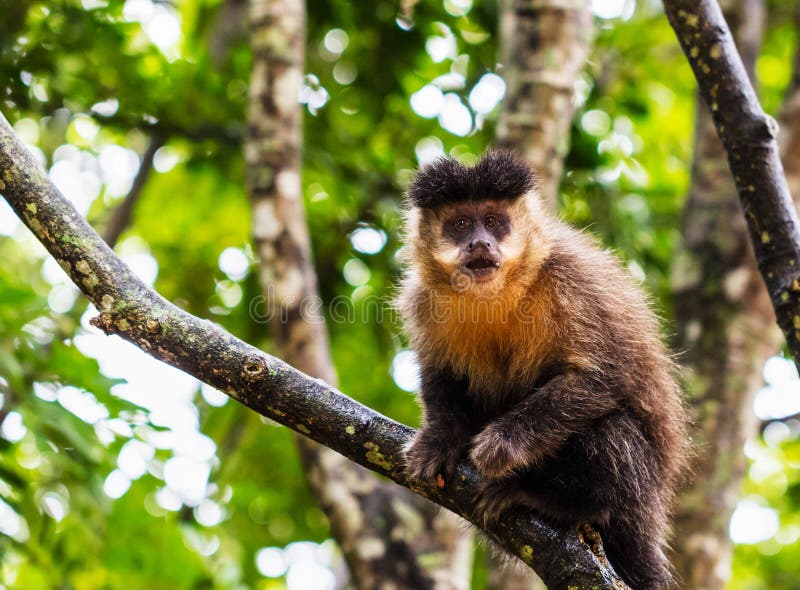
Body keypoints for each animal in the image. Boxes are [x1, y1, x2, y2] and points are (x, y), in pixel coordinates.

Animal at [398, 151, 690, 589]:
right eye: (461, 224)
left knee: (612, 427)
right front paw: (439, 440)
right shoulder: (423, 298)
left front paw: (502, 444)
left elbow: (607, 376)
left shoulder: (573, 280)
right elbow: (440, 372)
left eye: (494, 221)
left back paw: (568, 504)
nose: (480, 242)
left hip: (637, 503)